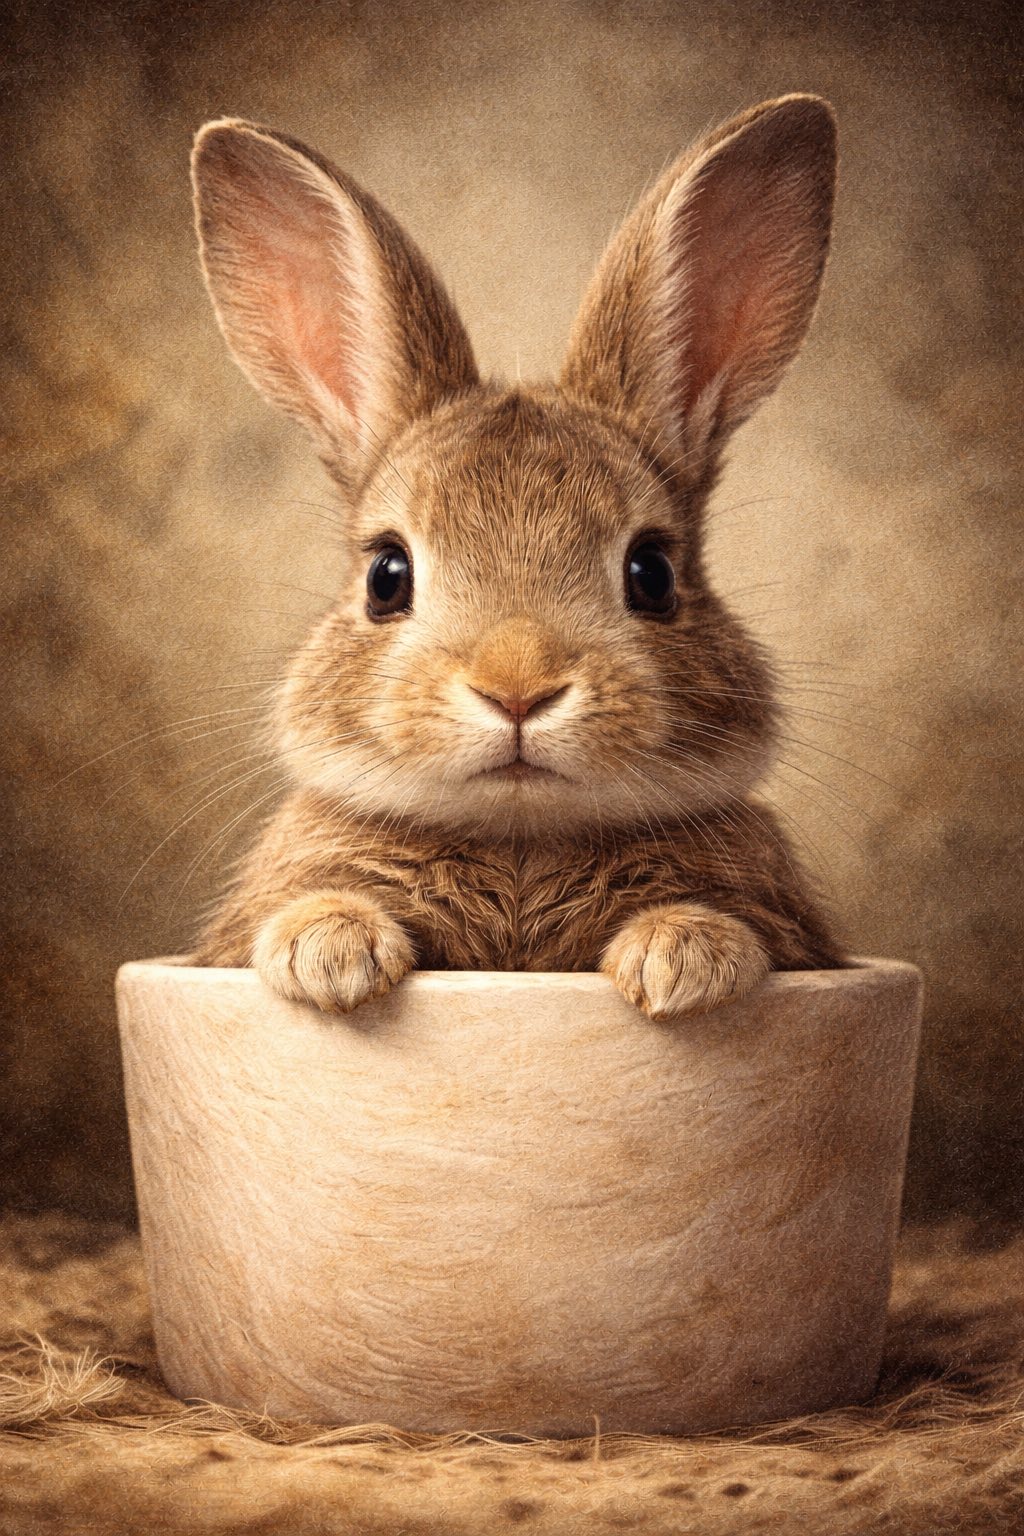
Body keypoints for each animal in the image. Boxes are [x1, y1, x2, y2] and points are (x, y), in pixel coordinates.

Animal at [189, 93, 844, 1020]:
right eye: (387, 576)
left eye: (652, 574)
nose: (518, 688)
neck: (519, 842)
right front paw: (328, 950)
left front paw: (681, 957)